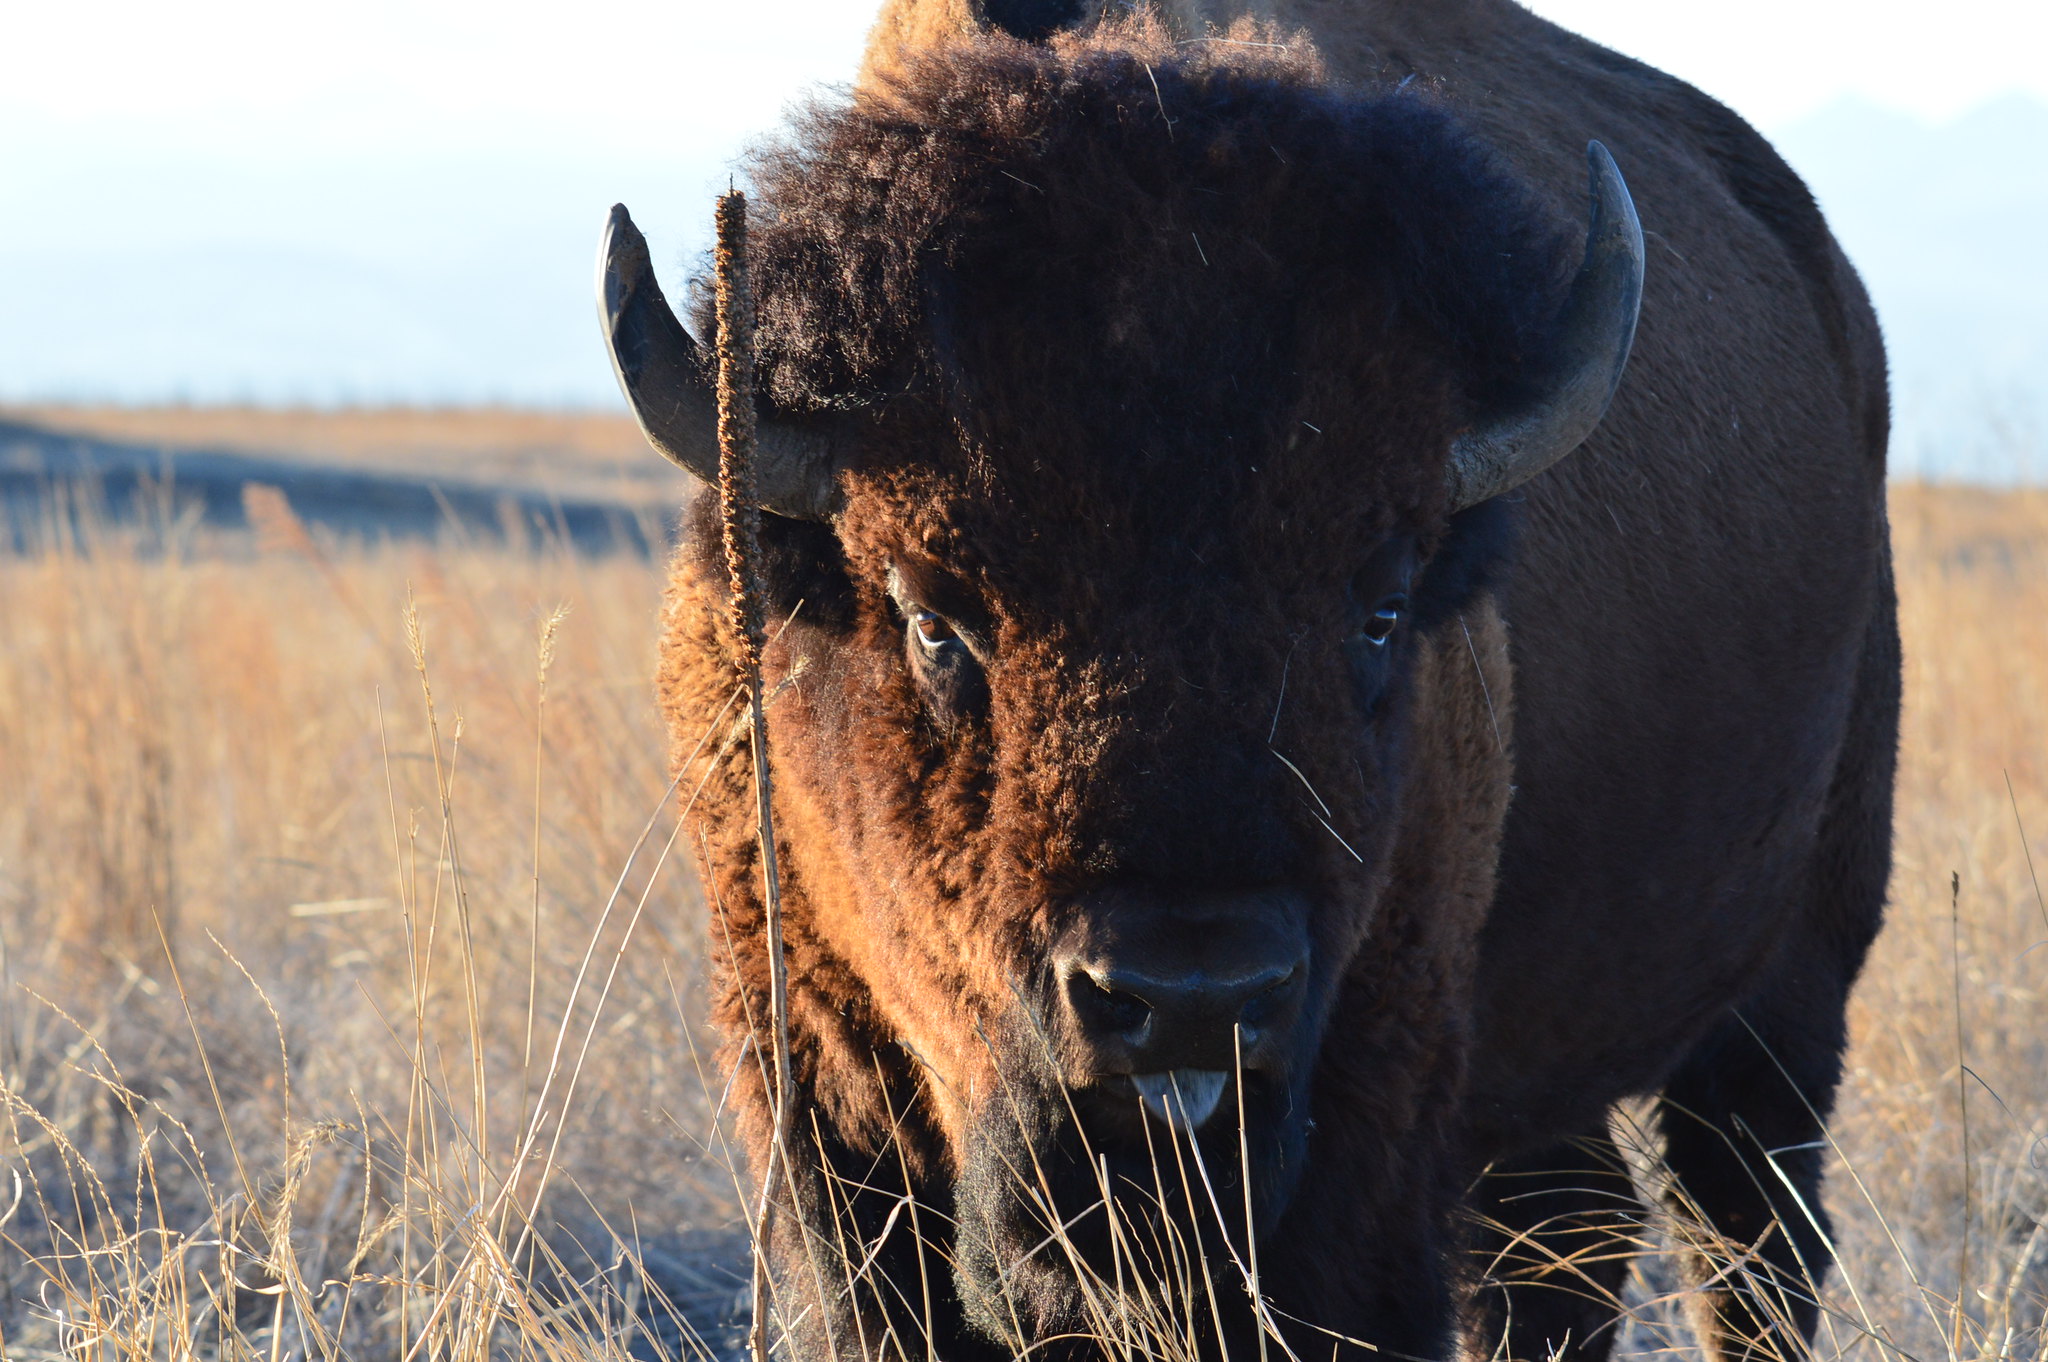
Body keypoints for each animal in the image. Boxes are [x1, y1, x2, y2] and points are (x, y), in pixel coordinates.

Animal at [597, 7, 1896, 1361]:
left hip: (1791, 991)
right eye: (929, 619)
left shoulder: (1369, 1119)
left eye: (1379, 612)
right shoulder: (815, 1083)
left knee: (1743, 1235)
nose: (1188, 996)